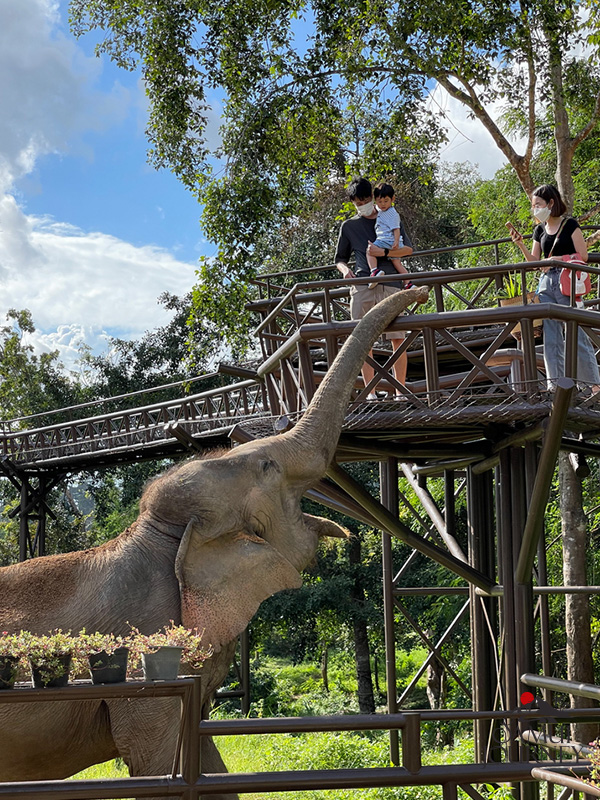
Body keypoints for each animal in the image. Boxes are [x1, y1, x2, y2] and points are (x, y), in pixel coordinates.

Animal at [0, 285, 428, 797]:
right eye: (268, 466)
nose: (419, 291)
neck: (161, 540)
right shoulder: (145, 660)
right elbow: (159, 759)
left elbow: (208, 760)